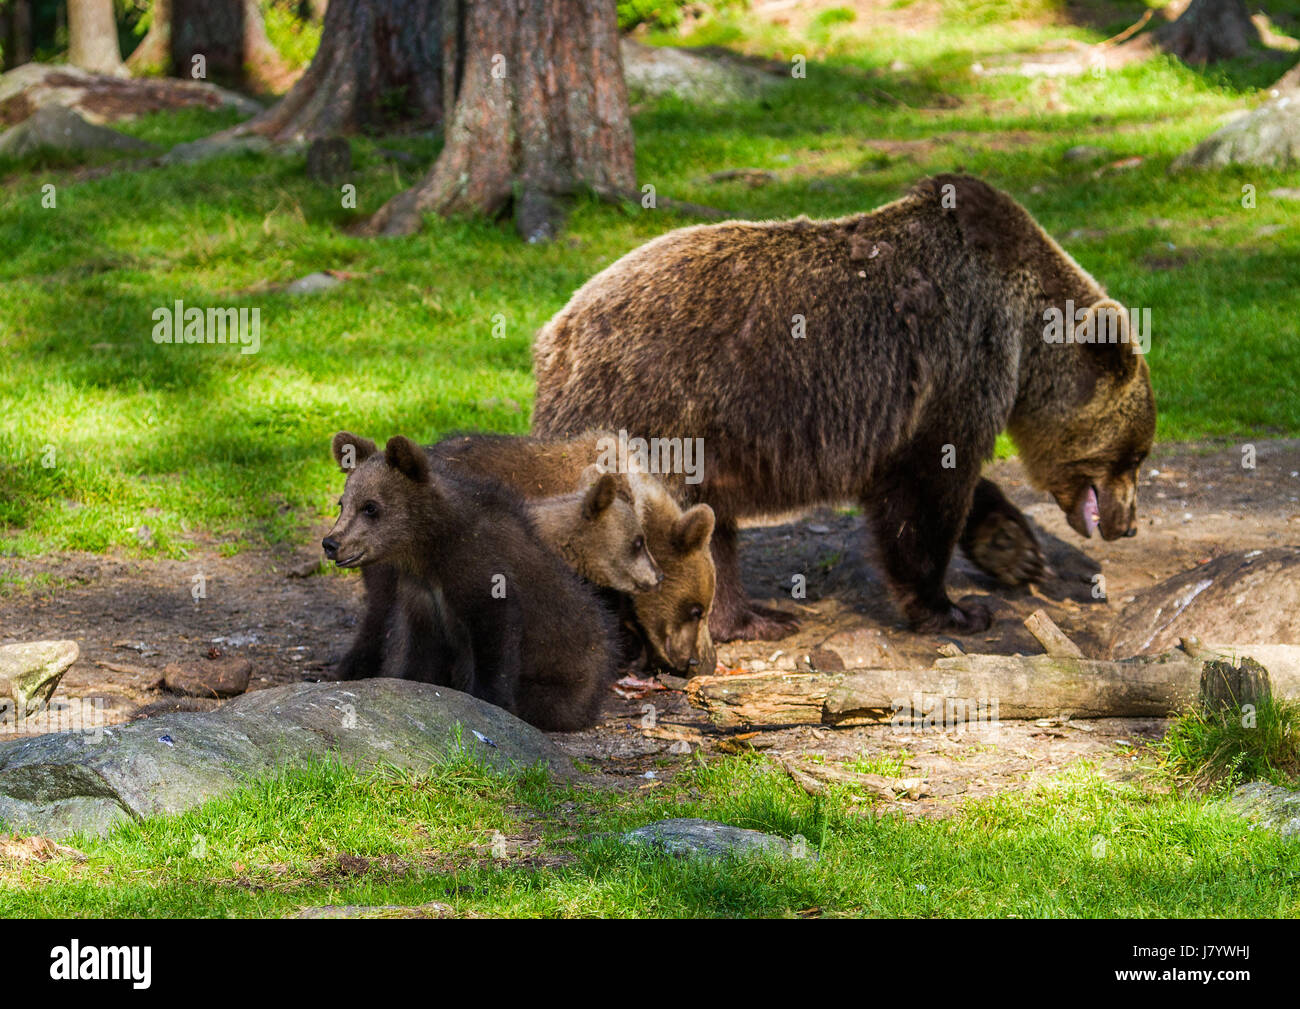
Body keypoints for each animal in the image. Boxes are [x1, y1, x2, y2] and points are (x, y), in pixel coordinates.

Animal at [323, 432, 617, 731]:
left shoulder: (482, 575)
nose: (331, 543)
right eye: (342, 503)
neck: (430, 550)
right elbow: (419, 648)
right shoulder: (421, 594)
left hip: (565, 678)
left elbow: (494, 641)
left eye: (370, 507)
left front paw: (488, 701)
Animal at [530, 173, 1156, 640]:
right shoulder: (960, 361)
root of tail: (554, 337)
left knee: (709, 532)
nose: (1128, 524)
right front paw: (954, 608)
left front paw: (1013, 548)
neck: (1024, 339)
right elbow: (926, 493)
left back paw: (751, 618)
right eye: (1136, 455)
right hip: (658, 409)